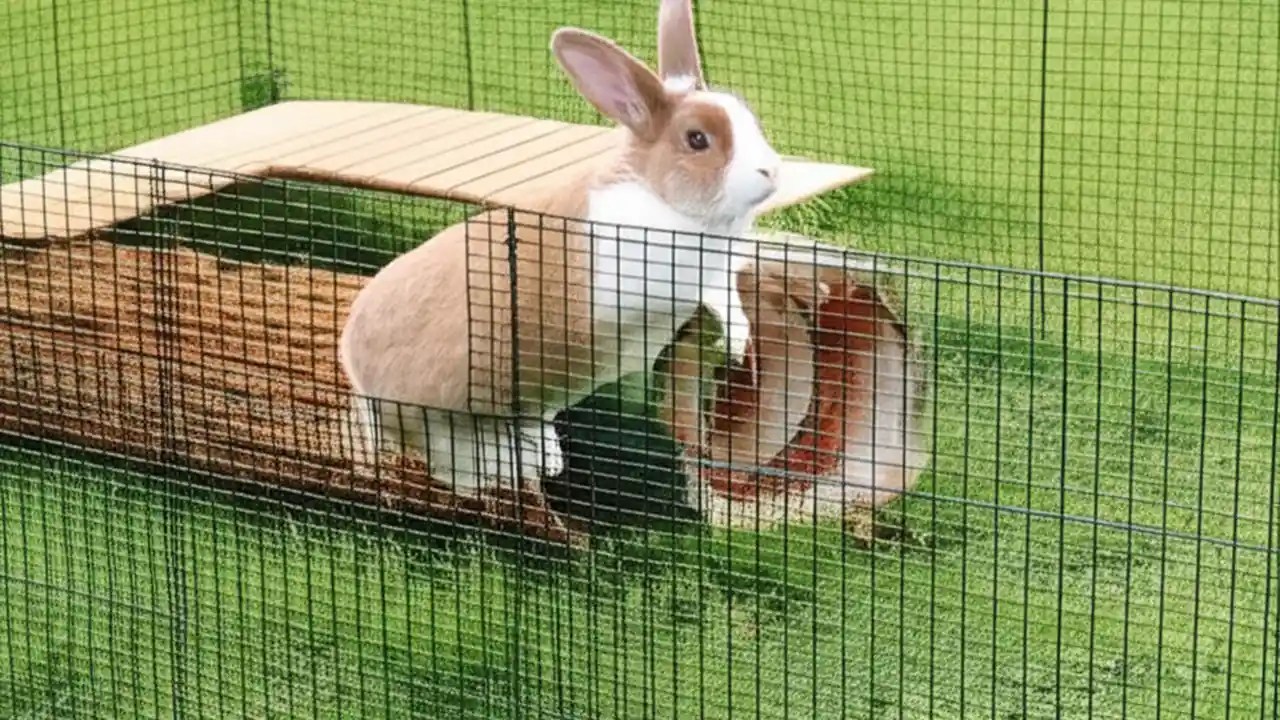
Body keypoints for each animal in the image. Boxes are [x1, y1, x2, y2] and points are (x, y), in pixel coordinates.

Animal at [338, 0, 782, 528]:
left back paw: (546, 452)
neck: (664, 201)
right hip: (441, 417)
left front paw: (738, 341)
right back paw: (535, 460)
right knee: (459, 469)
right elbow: (700, 292)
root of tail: (357, 375)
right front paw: (735, 343)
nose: (773, 171)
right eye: (697, 139)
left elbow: (725, 294)